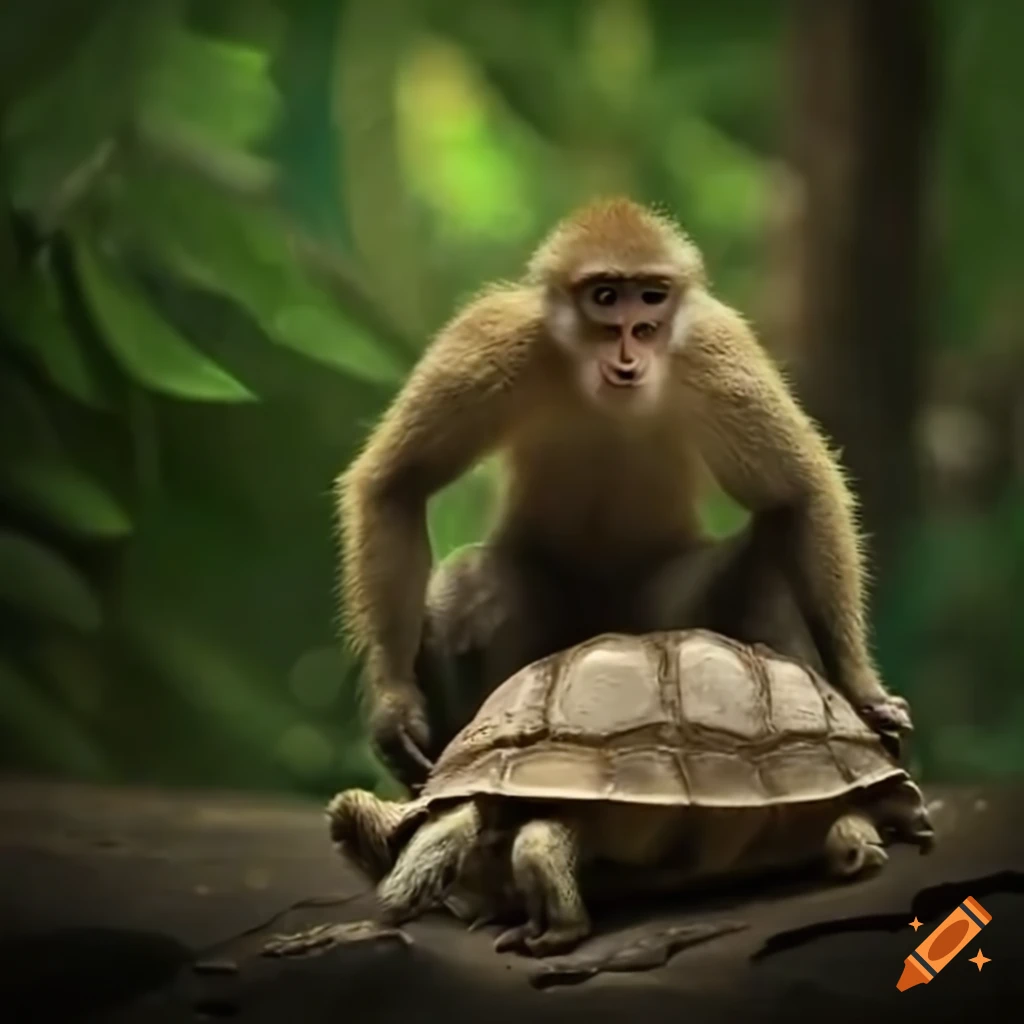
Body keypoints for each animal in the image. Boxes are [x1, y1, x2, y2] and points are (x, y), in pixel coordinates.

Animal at [337, 197, 912, 787]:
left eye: (651, 296)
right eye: (606, 295)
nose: (631, 337)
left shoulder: (715, 349)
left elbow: (800, 493)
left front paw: (861, 691)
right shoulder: (491, 337)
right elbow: (397, 484)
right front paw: (396, 705)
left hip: (653, 611)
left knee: (762, 564)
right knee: (477, 583)